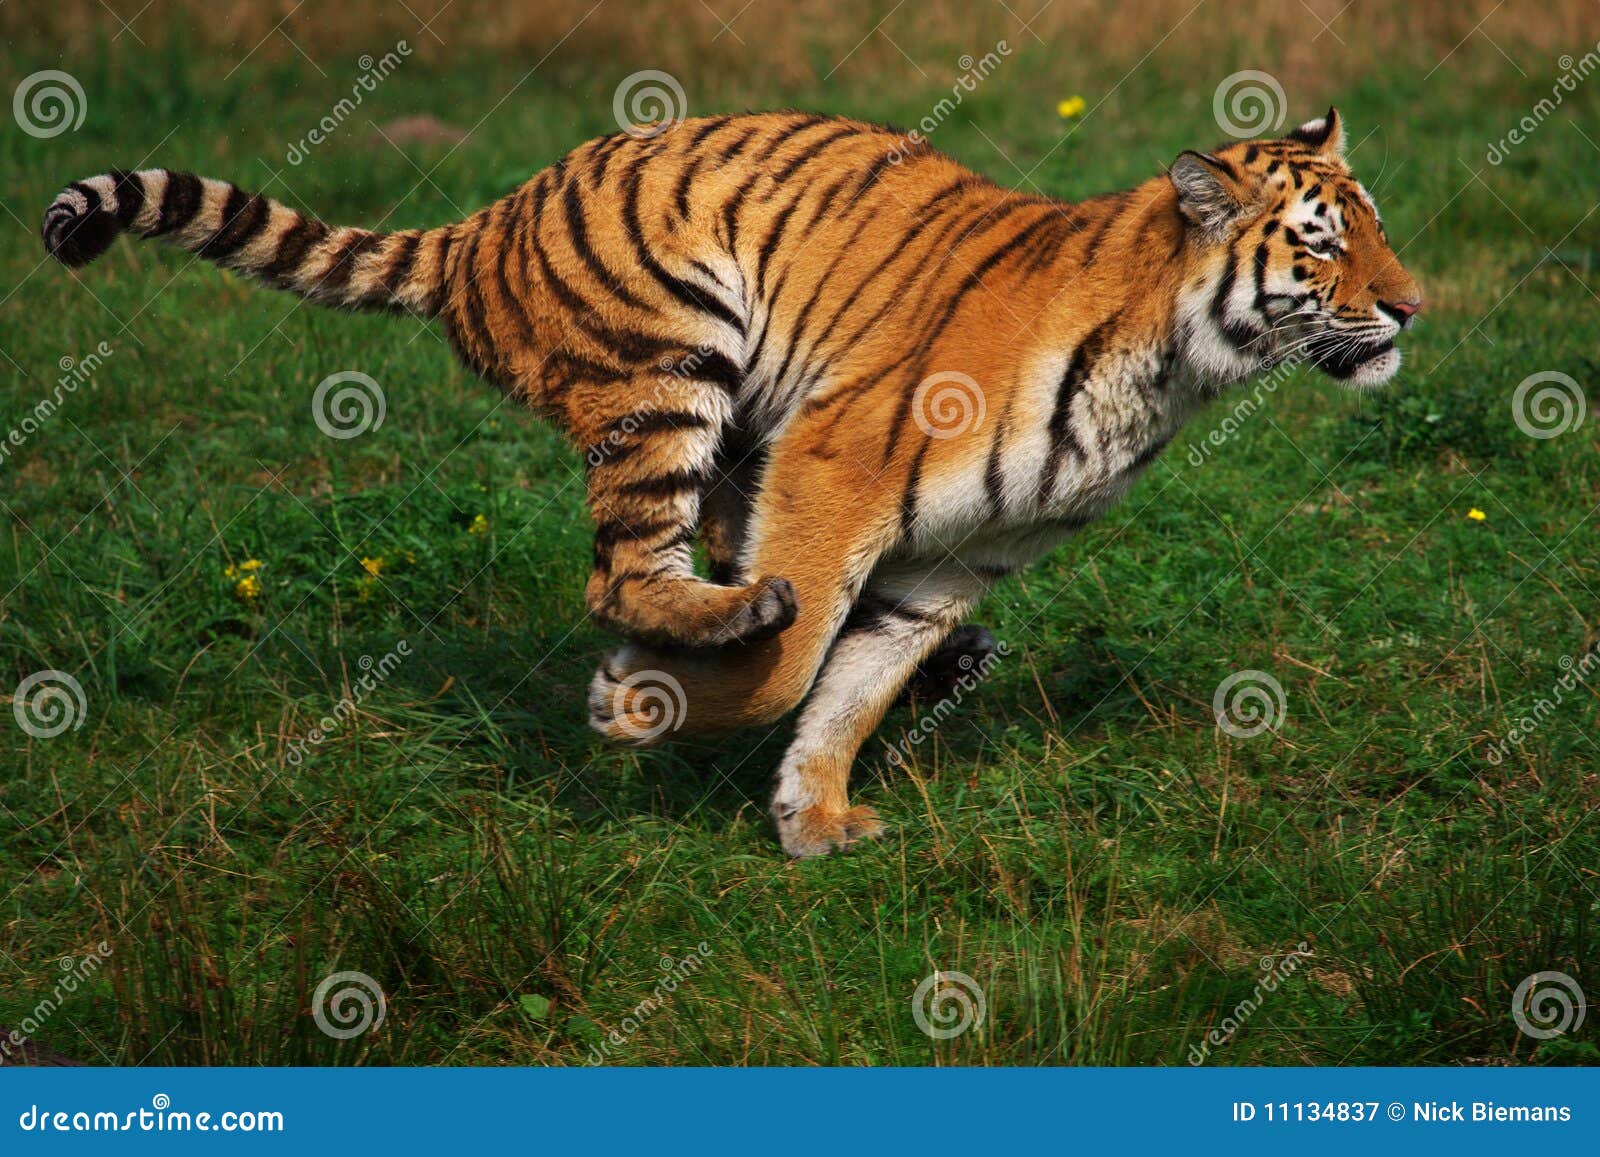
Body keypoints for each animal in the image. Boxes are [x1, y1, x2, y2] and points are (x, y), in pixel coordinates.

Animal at [43, 105, 1420, 857]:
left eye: (1379, 226)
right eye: (1321, 244)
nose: (1412, 306)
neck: (1172, 371)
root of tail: (489, 217)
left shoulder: (945, 567)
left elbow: (850, 692)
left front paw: (815, 820)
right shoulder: (840, 462)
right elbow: (795, 664)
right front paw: (638, 709)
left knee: (685, 546)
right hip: (668, 361)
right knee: (623, 571)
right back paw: (691, 631)